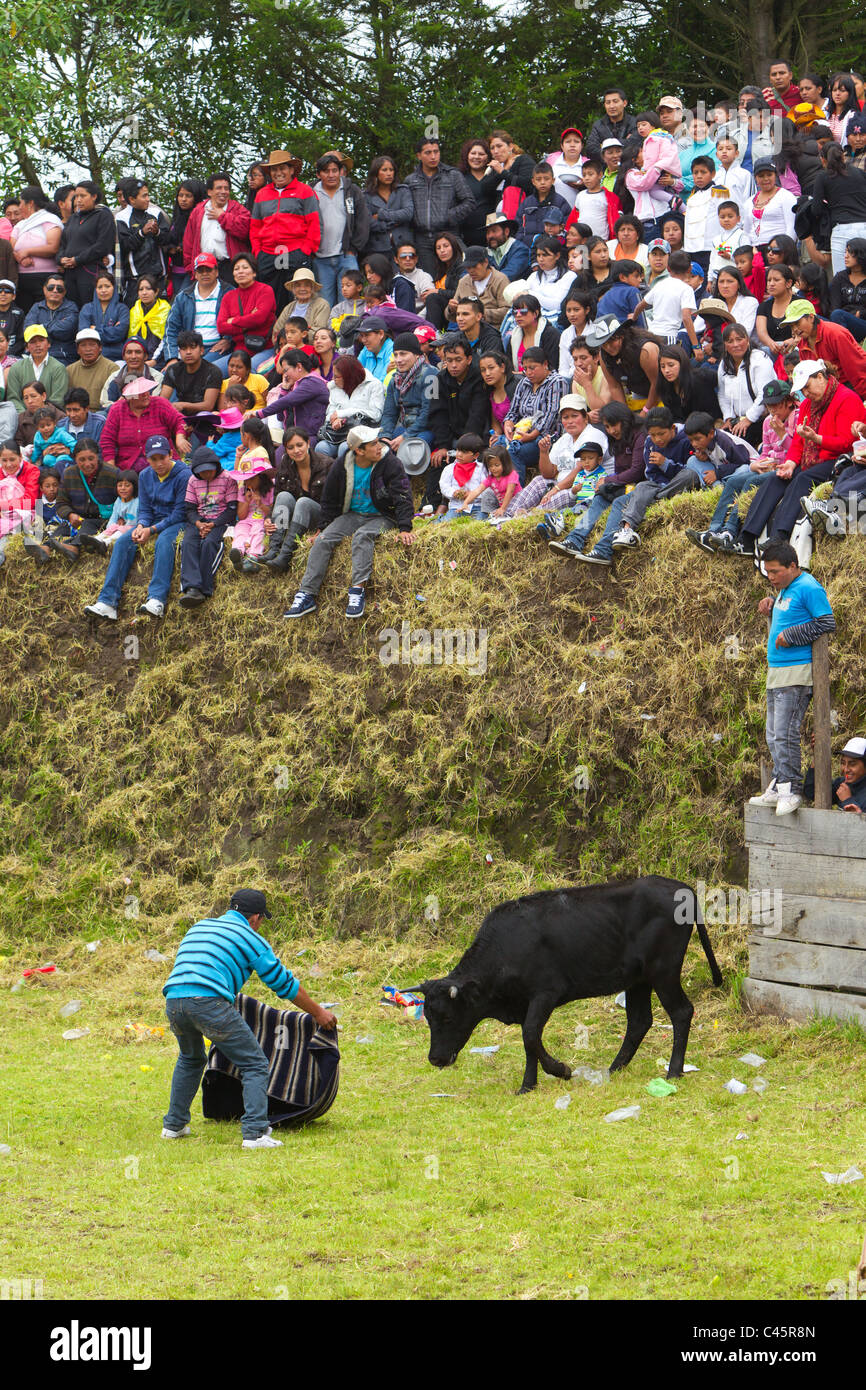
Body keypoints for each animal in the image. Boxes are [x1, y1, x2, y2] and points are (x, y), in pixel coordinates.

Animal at [412, 876, 722, 1093]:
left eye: (448, 1017)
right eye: (428, 1018)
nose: (435, 1059)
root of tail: (682, 888)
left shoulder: (546, 993)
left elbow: (530, 1035)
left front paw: (561, 1070)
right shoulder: (525, 1002)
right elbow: (529, 1042)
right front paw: (528, 1085)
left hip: (663, 972)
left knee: (681, 1012)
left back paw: (673, 1071)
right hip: (638, 979)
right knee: (639, 1021)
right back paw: (613, 1069)